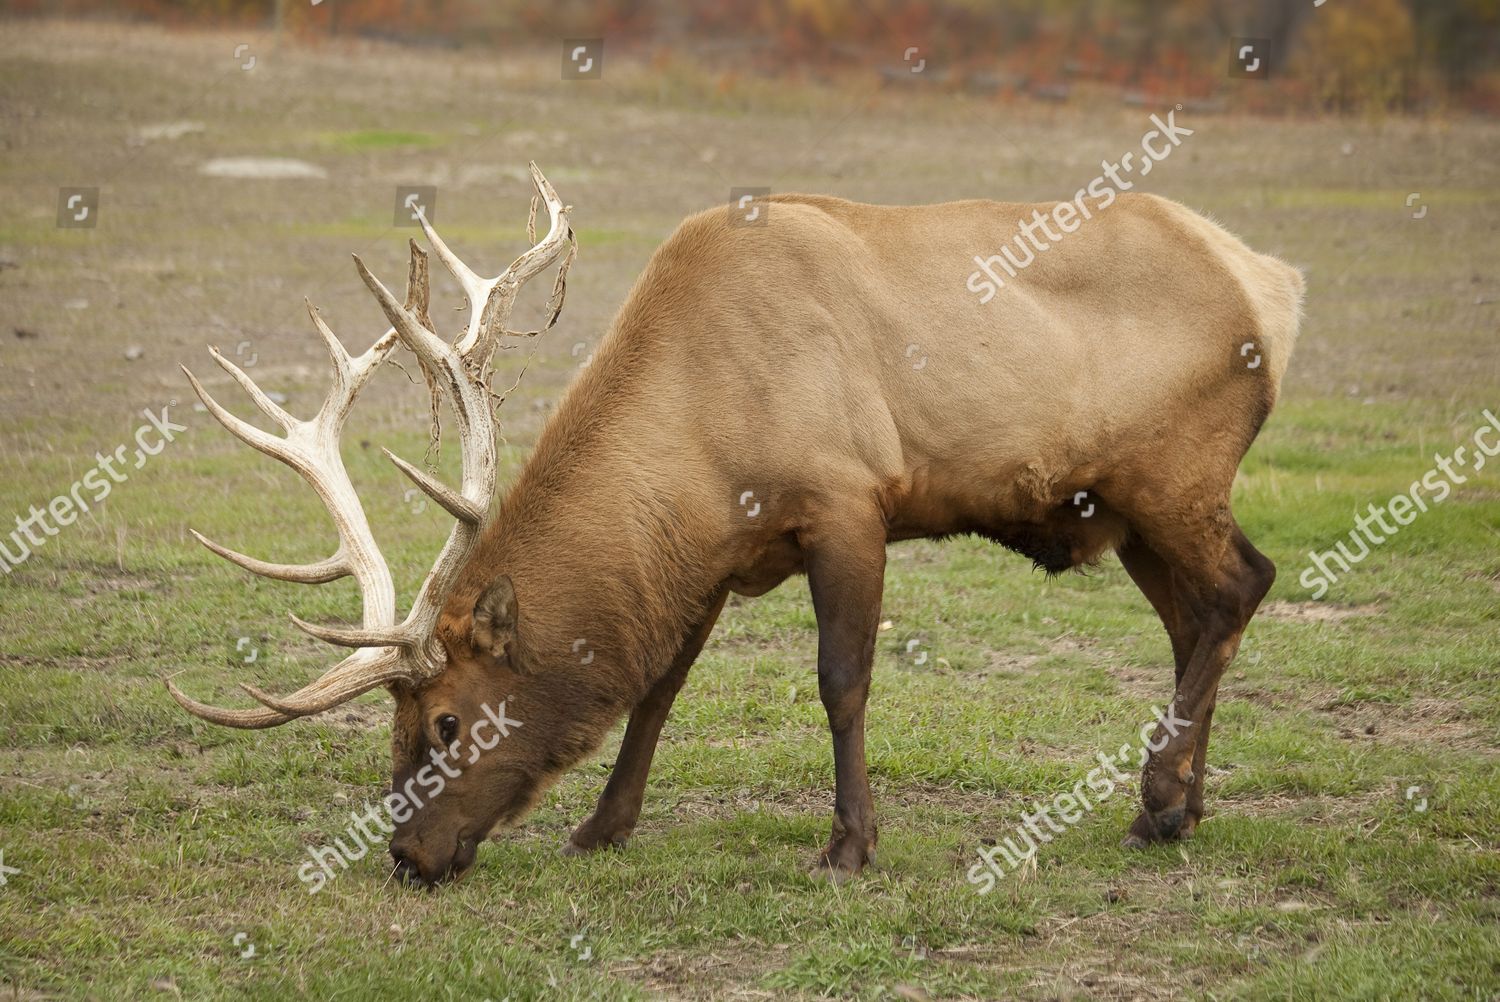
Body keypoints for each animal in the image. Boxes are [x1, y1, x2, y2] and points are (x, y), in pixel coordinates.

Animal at [168, 163, 1305, 886]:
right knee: (1198, 615)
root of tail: (1273, 286)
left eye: (446, 721)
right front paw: (601, 828)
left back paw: (1161, 798)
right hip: (1127, 509)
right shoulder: (711, 553)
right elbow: (656, 688)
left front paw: (849, 846)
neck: (702, 443)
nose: (407, 856)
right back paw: (1179, 806)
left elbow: (841, 682)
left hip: (1173, 470)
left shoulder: (847, 501)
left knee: (1244, 582)